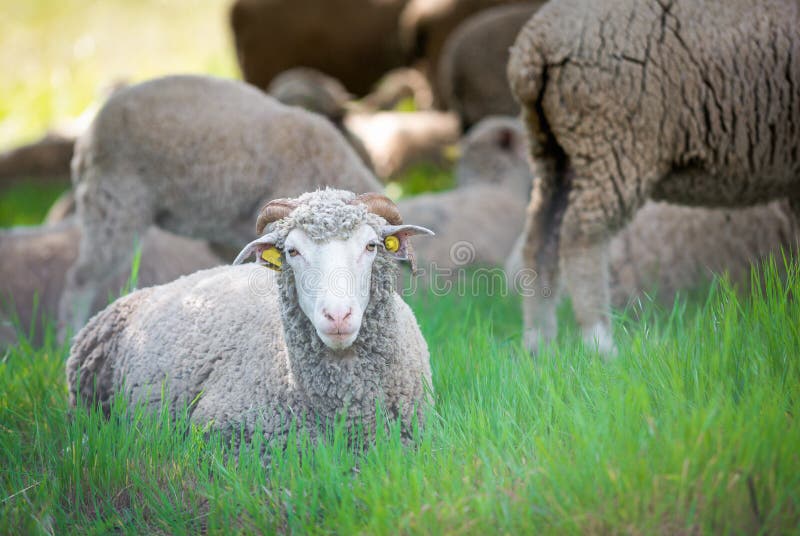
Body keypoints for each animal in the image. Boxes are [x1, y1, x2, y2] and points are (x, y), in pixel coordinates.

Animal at [507, 0, 800, 355]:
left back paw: (539, 346)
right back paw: (599, 344)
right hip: (613, 140)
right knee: (581, 236)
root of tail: (534, 44)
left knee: (539, 240)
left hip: (555, 151)